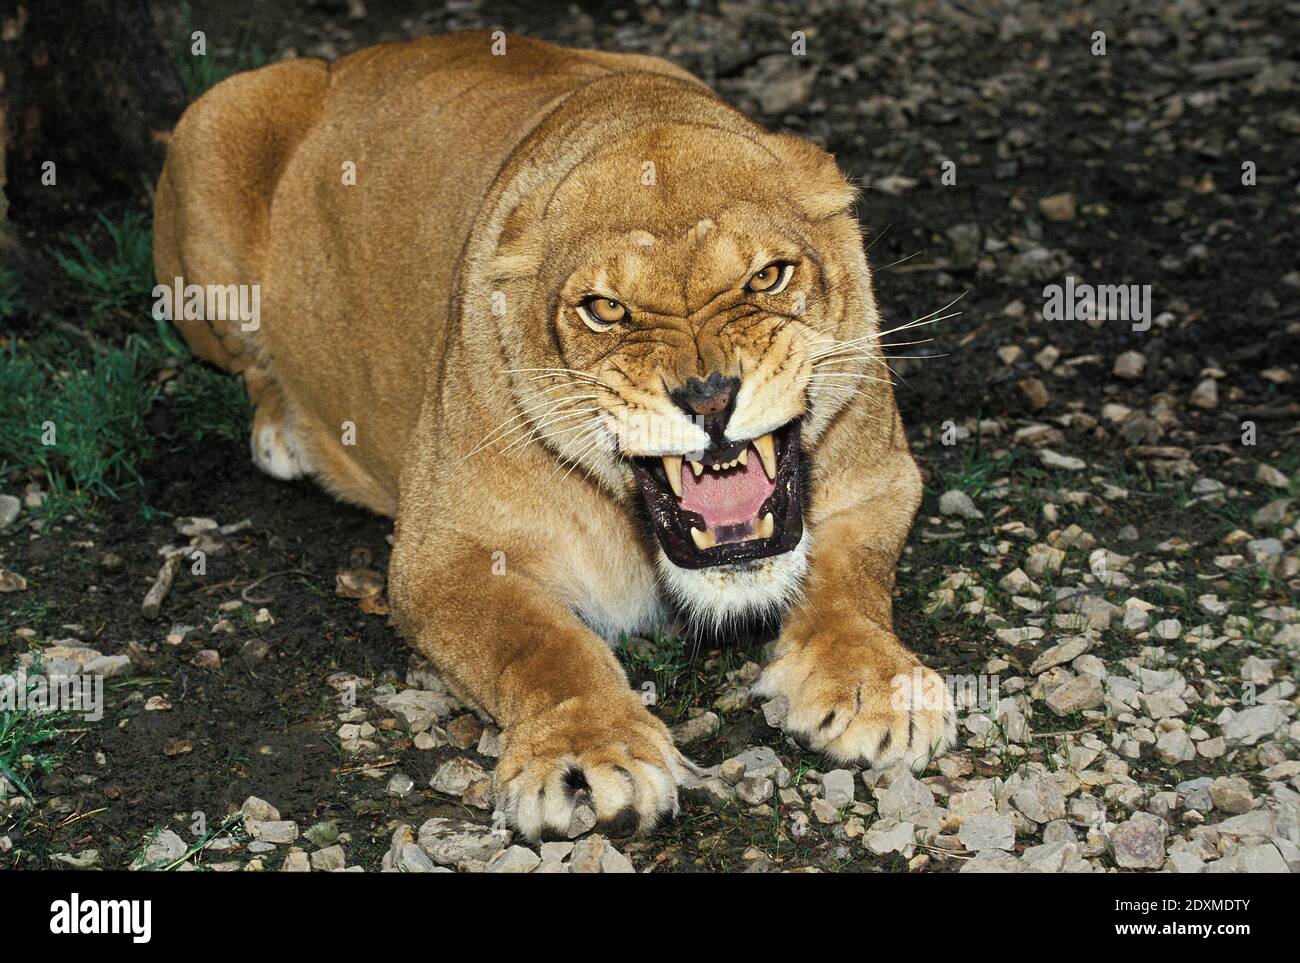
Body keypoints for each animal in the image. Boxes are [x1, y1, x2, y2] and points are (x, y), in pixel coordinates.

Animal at [153, 31, 956, 841]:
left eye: (768, 277)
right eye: (606, 309)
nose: (709, 396)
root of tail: (347, 61)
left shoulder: (884, 477)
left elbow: (849, 579)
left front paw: (873, 687)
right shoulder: (442, 553)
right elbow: (540, 645)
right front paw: (585, 756)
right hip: (214, 137)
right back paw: (283, 431)